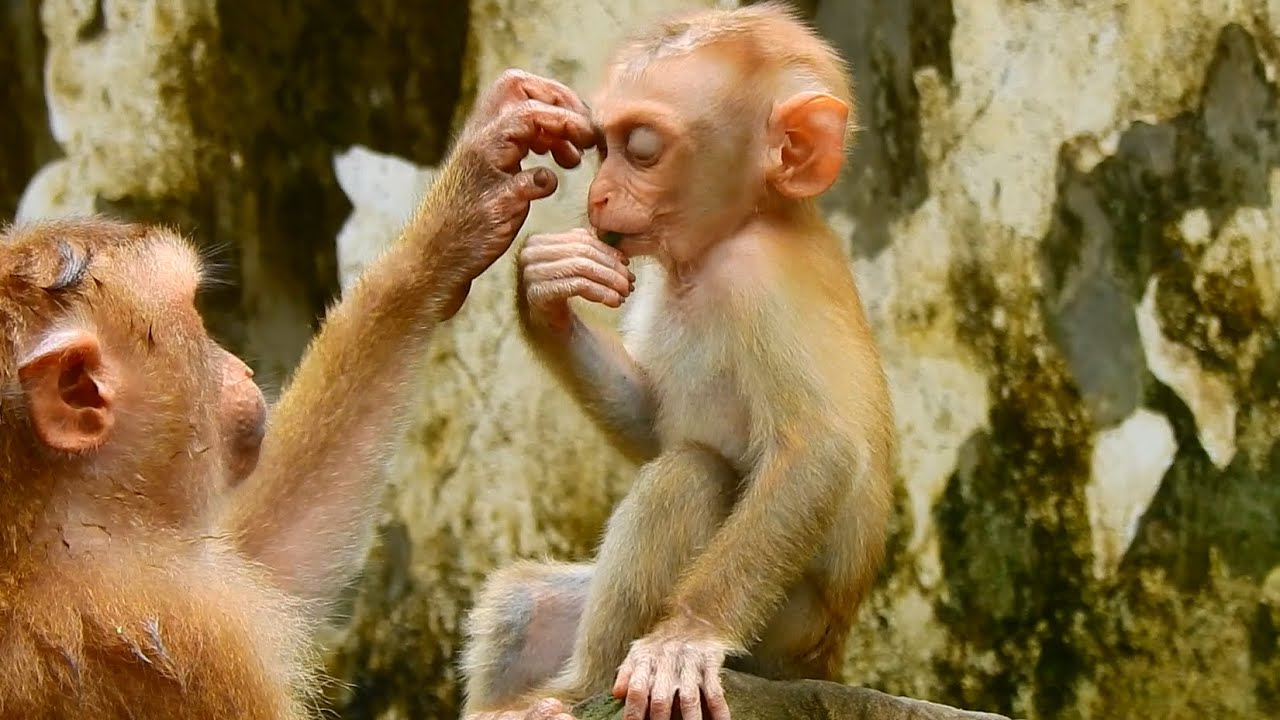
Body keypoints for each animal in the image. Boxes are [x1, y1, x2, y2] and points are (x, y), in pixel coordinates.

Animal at [0, 69, 597, 720]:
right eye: (196, 320)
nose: (234, 365)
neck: (55, 522)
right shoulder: (177, 636)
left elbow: (265, 556)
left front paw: (455, 217)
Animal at [458, 5, 897, 720]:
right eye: (601, 148)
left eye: (640, 149)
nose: (599, 198)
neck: (718, 245)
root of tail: (826, 660)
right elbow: (651, 423)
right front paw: (547, 289)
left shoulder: (759, 278)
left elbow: (819, 450)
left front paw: (687, 638)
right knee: (525, 601)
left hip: (781, 629)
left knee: (689, 477)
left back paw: (571, 690)